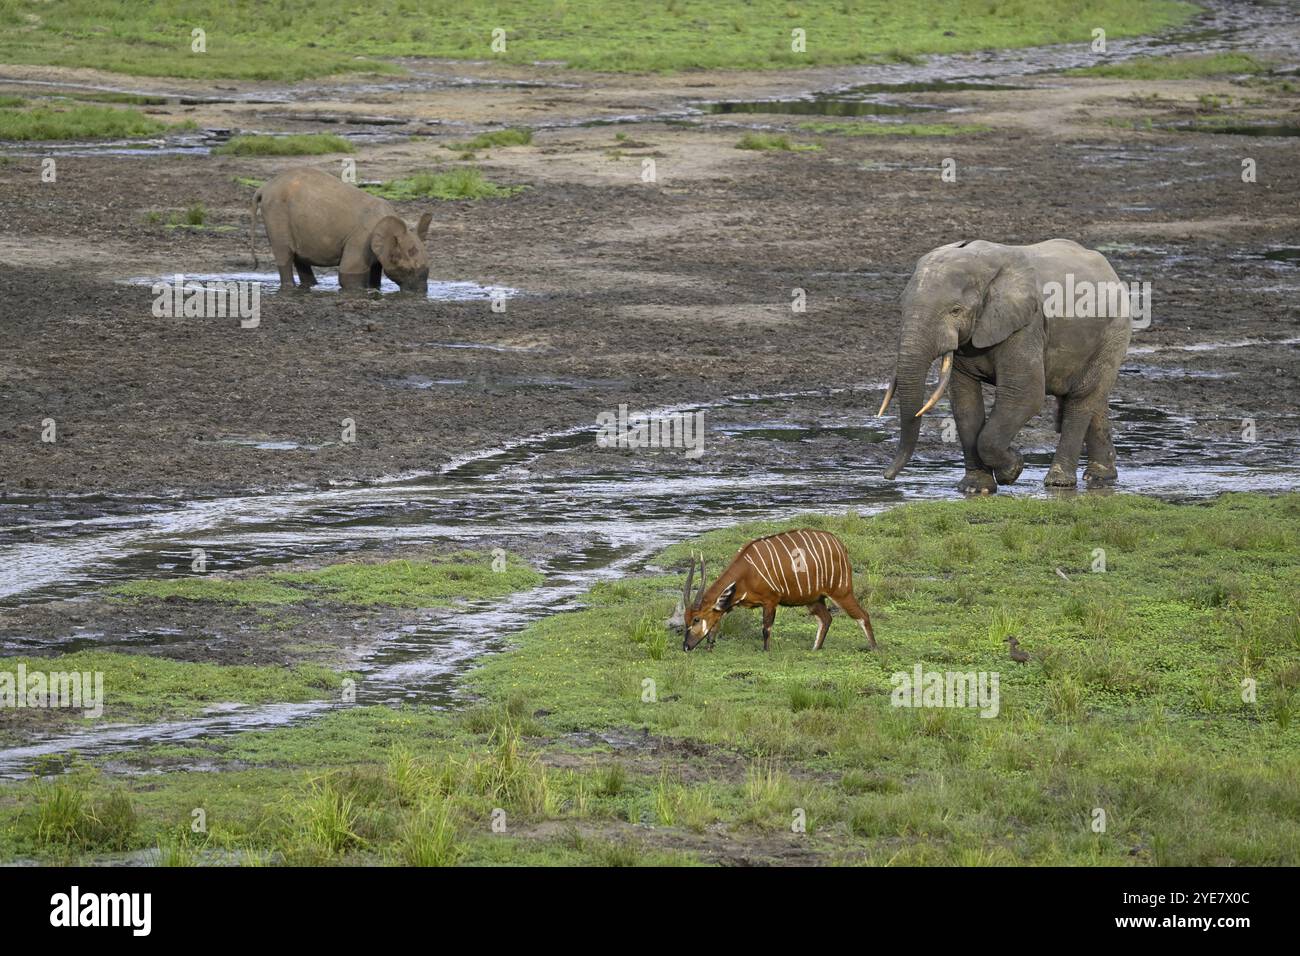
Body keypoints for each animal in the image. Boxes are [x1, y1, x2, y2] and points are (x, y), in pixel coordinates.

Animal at [250, 167, 431, 293]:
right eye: (409, 270)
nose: (420, 295)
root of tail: (264, 187)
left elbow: (375, 274)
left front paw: (374, 290)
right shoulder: (361, 238)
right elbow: (348, 275)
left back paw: (311, 286)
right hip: (276, 213)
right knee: (285, 253)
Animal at [678, 529, 878, 652]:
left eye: (696, 619)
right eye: (686, 619)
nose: (686, 647)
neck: (747, 571)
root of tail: (841, 546)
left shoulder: (770, 601)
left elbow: (766, 629)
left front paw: (766, 651)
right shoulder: (731, 602)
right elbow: (717, 622)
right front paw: (710, 646)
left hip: (841, 592)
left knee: (863, 615)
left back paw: (874, 648)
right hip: (814, 599)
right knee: (826, 619)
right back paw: (815, 649)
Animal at [879, 239, 1132, 492]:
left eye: (955, 310)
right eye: (901, 307)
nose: (887, 476)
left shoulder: (1027, 325)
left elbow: (1024, 395)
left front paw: (1011, 471)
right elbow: (965, 403)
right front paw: (975, 488)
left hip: (1114, 333)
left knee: (1082, 398)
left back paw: (1059, 482)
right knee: (1095, 400)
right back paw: (1101, 478)